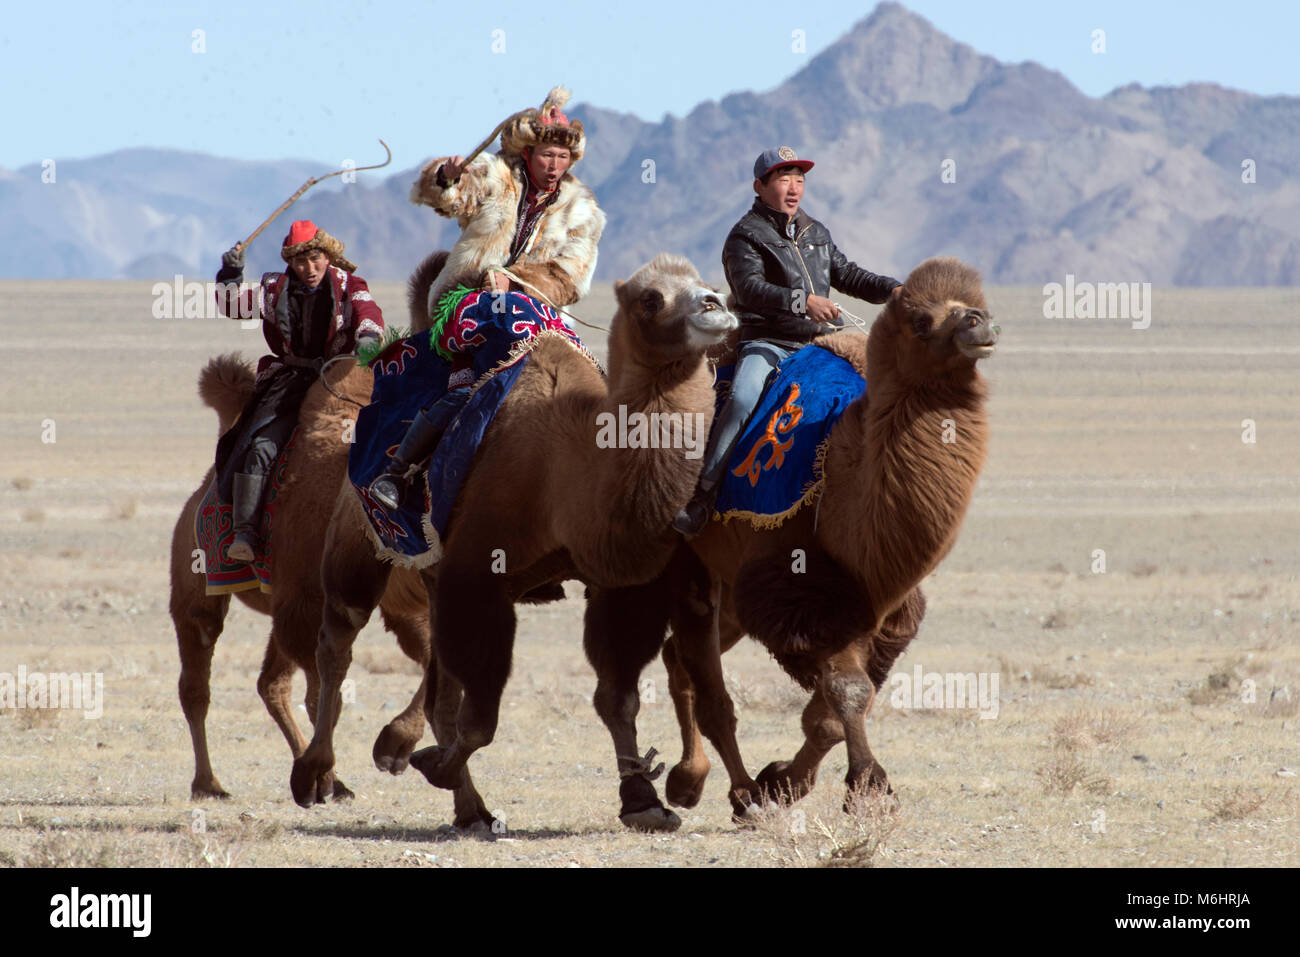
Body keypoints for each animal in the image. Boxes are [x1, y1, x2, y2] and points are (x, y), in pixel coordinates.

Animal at [168, 353, 435, 802]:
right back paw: (209, 784)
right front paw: (323, 775)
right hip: (196, 580)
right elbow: (323, 693)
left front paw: (392, 747)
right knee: (196, 681)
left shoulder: (398, 605)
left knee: (271, 684)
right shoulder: (307, 600)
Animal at [290, 253, 737, 831]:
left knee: (436, 686)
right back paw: (316, 775)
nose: (716, 304)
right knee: (338, 641)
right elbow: (481, 716)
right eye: (650, 299)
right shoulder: (480, 575)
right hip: (359, 537)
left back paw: (469, 810)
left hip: (433, 575)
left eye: (705, 281)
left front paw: (643, 801)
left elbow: (616, 697)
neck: (568, 465)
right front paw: (433, 765)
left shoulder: (613, 585)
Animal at [618, 256, 999, 816]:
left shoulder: (878, 609)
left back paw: (695, 782)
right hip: (695, 562)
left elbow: (830, 714)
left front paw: (785, 779)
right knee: (702, 677)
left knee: (676, 658)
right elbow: (847, 692)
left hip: (733, 587)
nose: (979, 322)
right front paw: (867, 788)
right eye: (922, 321)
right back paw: (723, 790)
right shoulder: (800, 597)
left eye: (977, 302)